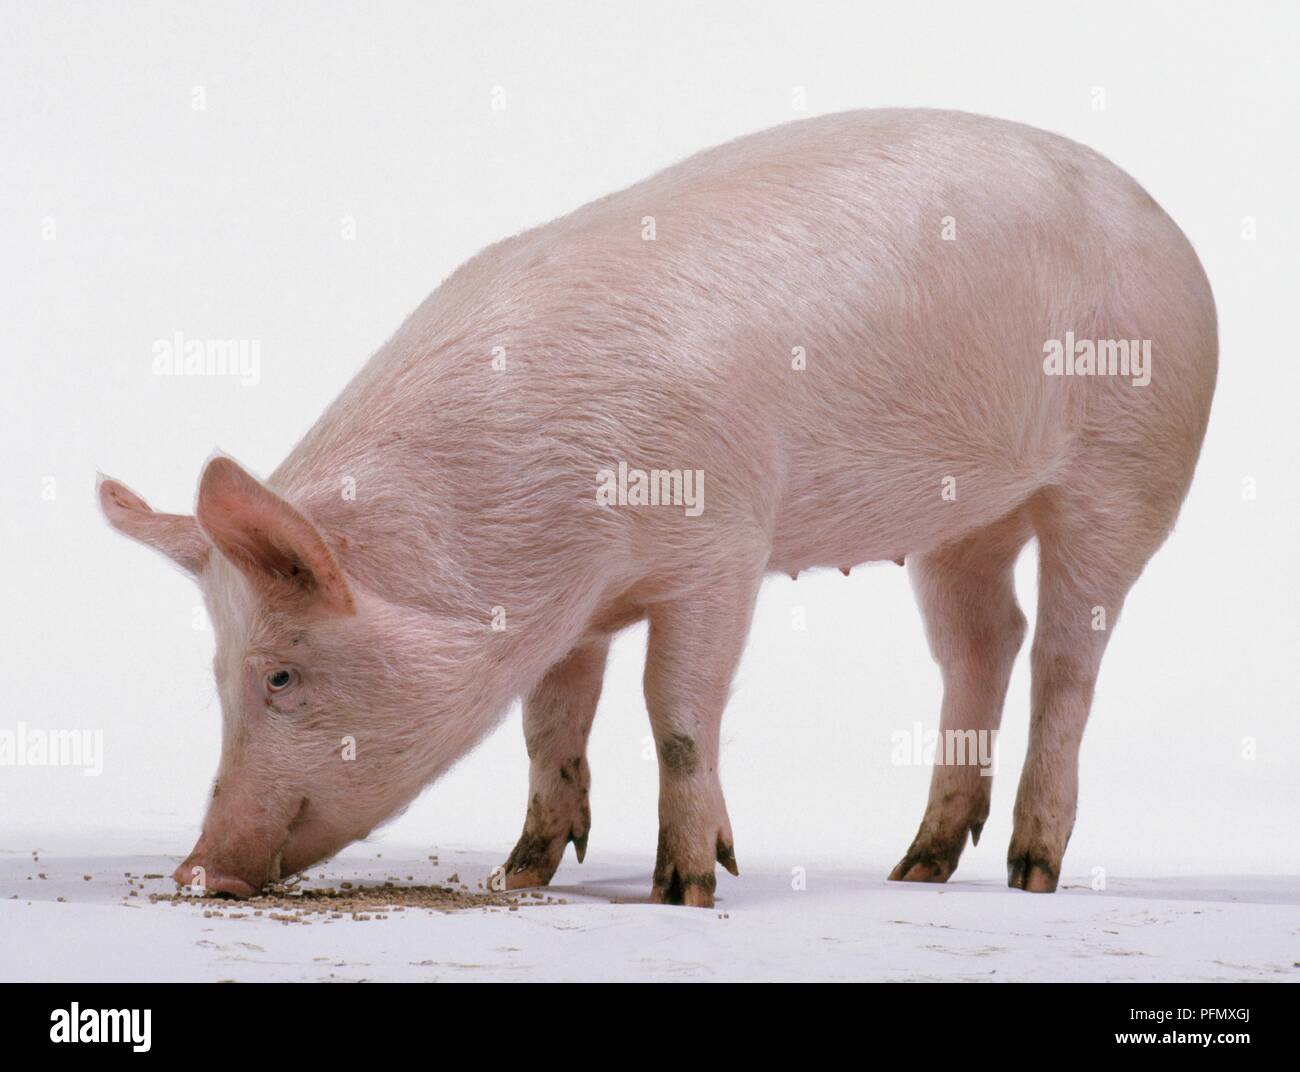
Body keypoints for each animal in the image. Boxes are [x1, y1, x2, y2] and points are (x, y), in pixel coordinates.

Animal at [99, 109, 1216, 906]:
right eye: (214, 678)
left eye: (280, 674)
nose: (197, 871)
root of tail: (1166, 223)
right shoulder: (570, 611)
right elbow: (551, 725)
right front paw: (519, 872)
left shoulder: (722, 544)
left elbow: (677, 709)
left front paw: (686, 888)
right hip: (960, 521)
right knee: (983, 640)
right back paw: (918, 866)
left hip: (1124, 474)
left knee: (1067, 655)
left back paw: (1032, 871)